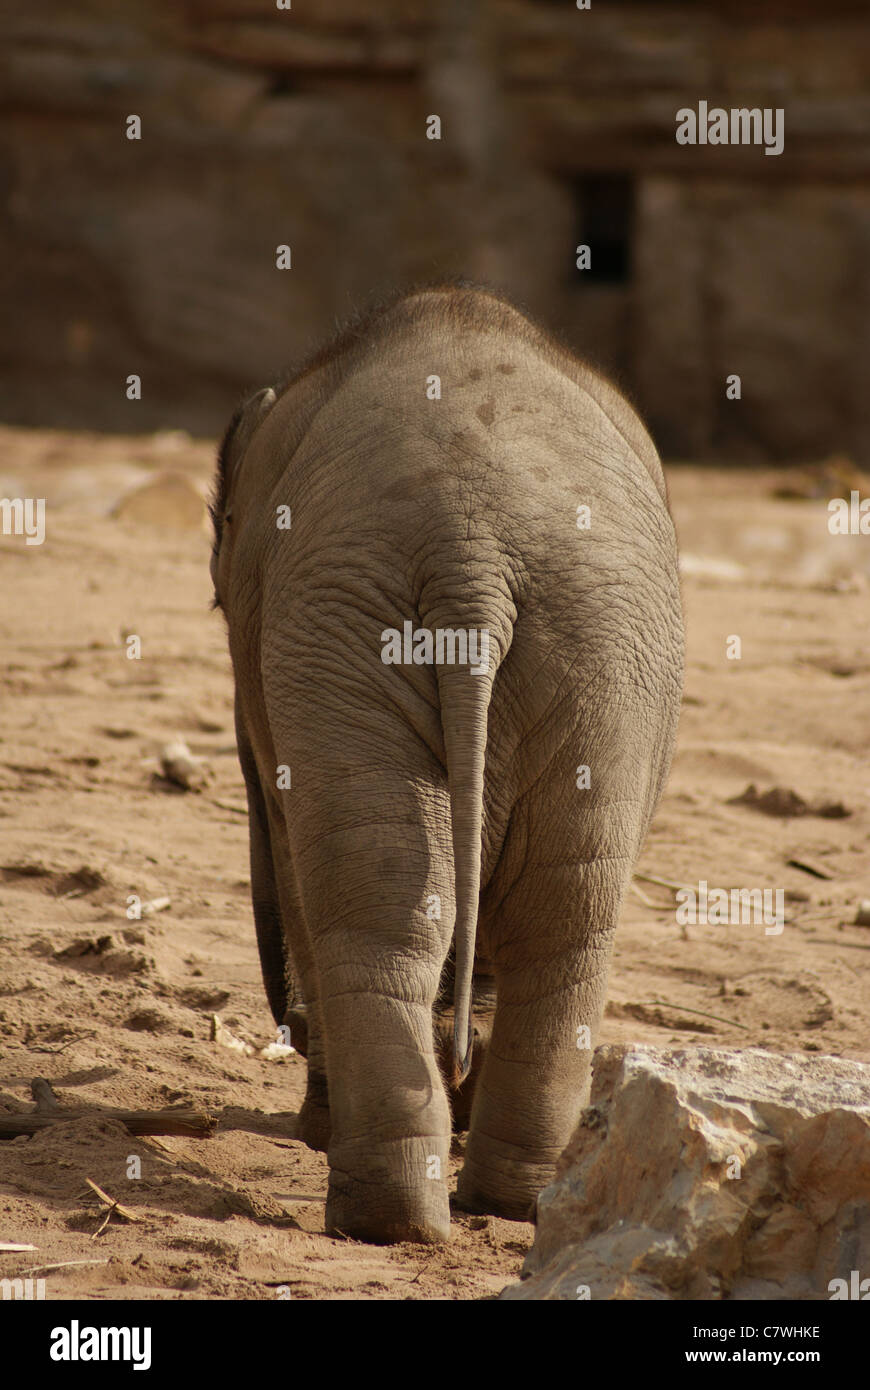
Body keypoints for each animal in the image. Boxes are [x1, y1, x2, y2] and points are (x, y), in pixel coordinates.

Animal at [210, 285, 684, 1245]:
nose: (285, 1024)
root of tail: (475, 556)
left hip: (375, 633)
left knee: (390, 897)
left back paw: (394, 1205)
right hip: (592, 651)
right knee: (551, 911)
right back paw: (488, 1203)